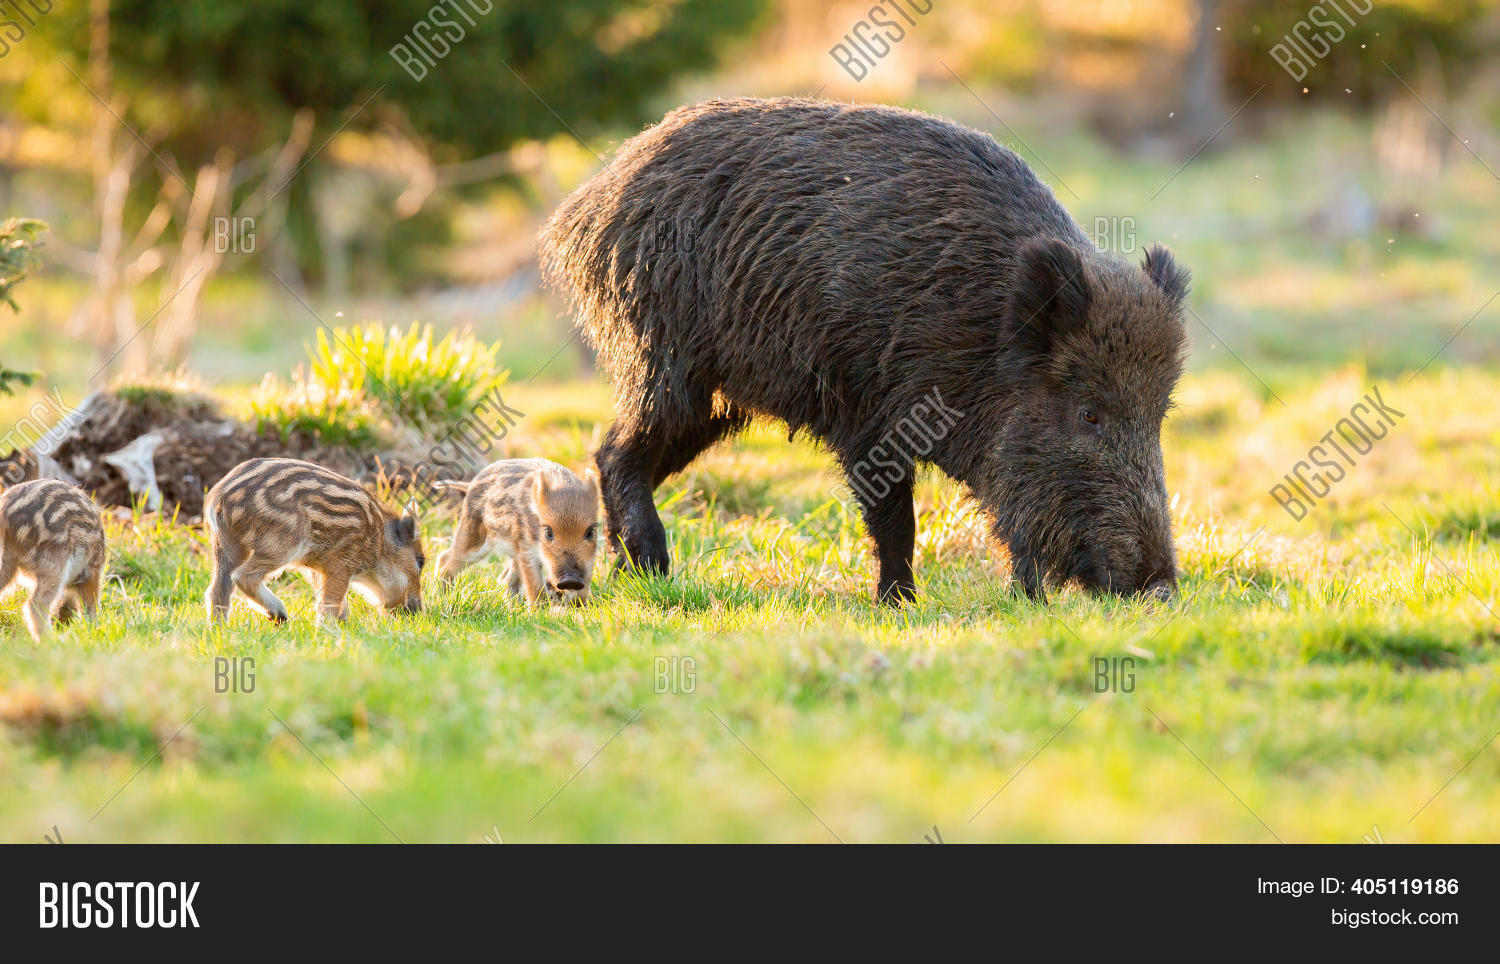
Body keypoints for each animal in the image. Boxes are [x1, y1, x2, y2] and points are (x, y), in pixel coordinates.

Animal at [0, 479, 106, 639]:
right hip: (54, 564)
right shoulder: (91, 573)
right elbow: (89, 606)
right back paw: (52, 640)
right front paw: (93, 629)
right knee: (35, 604)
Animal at [204, 458, 424, 625]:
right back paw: (280, 615)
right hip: (283, 541)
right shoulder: (341, 561)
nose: (418, 613)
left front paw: (343, 626)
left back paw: (219, 630)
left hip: (227, 544)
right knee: (243, 576)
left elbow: (332, 600)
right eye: (420, 562)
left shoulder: (318, 568)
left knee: (218, 589)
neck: (379, 540)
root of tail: (220, 497)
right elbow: (331, 600)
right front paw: (329, 630)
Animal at [435, 458, 600, 606]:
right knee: (445, 560)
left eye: (590, 532)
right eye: (548, 532)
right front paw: (539, 613)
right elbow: (535, 587)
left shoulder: (588, 560)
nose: (571, 581)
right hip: (473, 538)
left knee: (505, 579)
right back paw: (442, 596)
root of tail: (470, 485)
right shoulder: (526, 549)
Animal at [540, 97, 1189, 604]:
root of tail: (585, 208)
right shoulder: (868, 417)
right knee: (613, 453)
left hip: (721, 401)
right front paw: (898, 605)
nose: (1160, 586)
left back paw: (636, 576)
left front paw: (1023, 600)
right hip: (667, 364)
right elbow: (896, 520)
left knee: (626, 455)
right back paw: (654, 570)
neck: (980, 334)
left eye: (1159, 415)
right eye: (1089, 412)